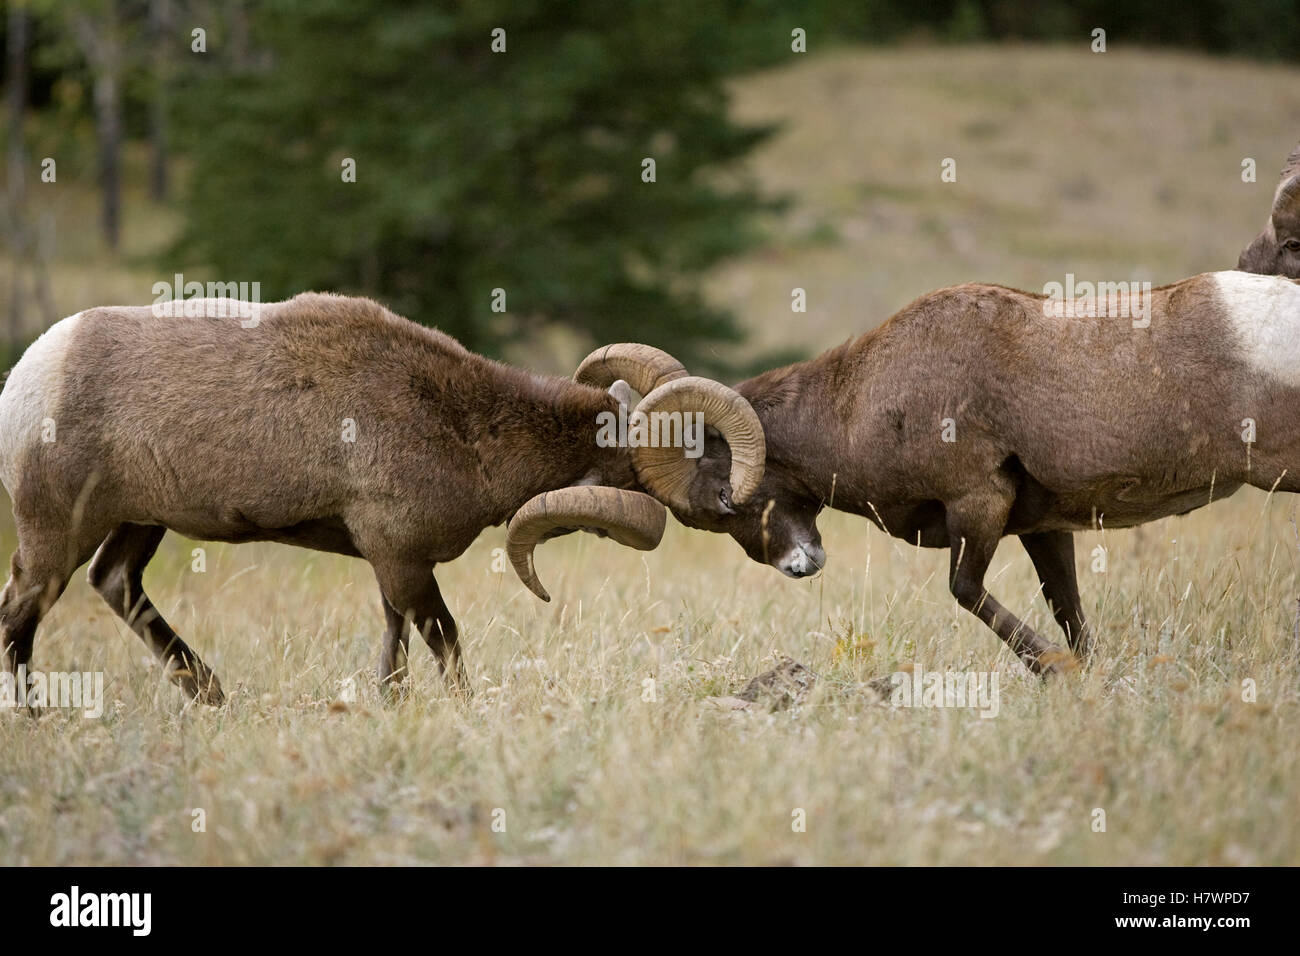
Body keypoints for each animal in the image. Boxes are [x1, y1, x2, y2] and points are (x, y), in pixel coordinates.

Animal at [0, 294, 764, 704]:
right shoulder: (401, 560)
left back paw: (213, 696)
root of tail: (27, 378)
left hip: (137, 524)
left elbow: (394, 651)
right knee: (21, 613)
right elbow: (444, 641)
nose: (732, 502)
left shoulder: (387, 564)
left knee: (116, 584)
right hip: (57, 532)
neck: (462, 423)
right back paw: (36, 718)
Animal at [595, 271, 1300, 674]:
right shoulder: (1043, 528)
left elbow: (966, 592)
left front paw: (1051, 671)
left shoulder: (977, 503)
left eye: (725, 499)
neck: (862, 403)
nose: (800, 566)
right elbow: (1069, 609)